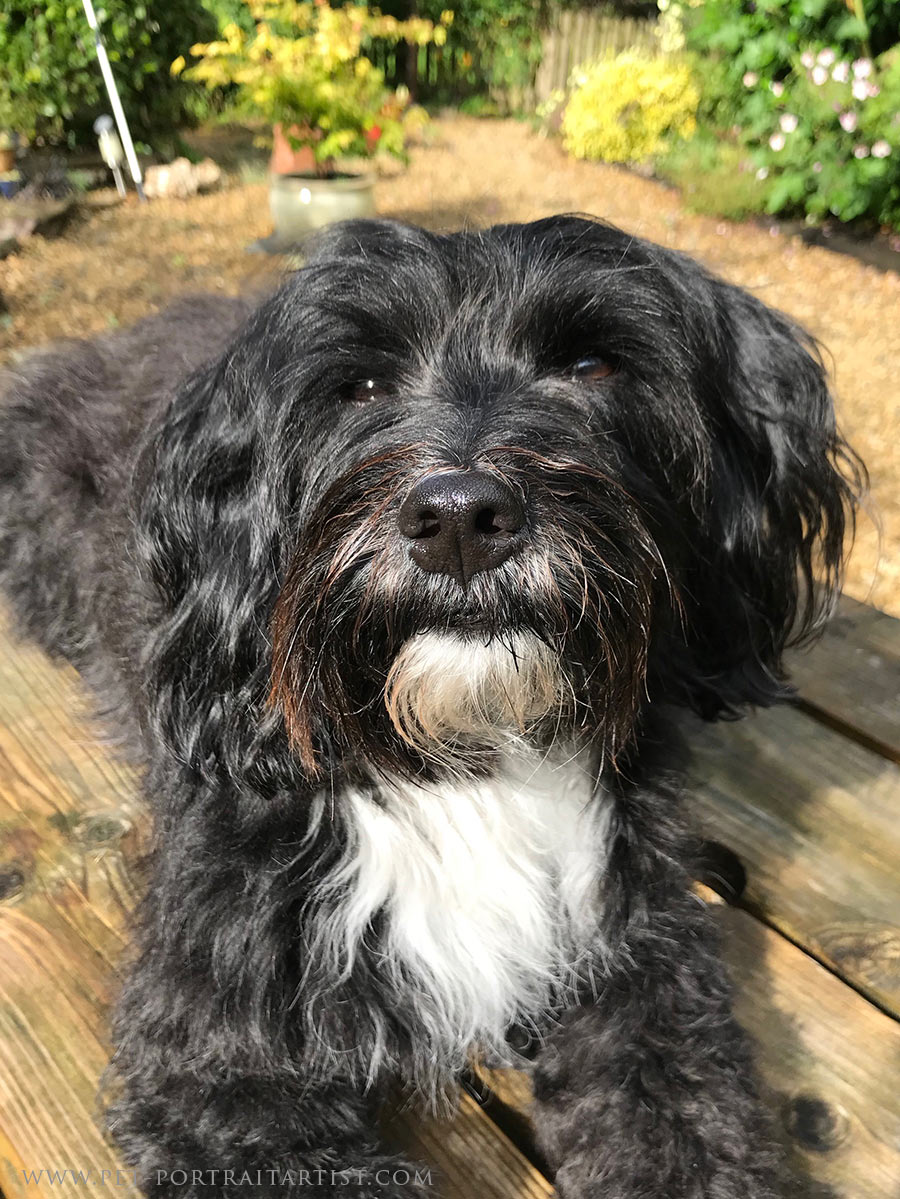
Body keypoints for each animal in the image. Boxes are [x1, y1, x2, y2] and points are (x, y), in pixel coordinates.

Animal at [0, 218, 867, 1199]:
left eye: (592, 364)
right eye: (362, 386)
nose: (459, 518)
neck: (467, 750)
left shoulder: (638, 943)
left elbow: (685, 1113)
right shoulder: (220, 1061)